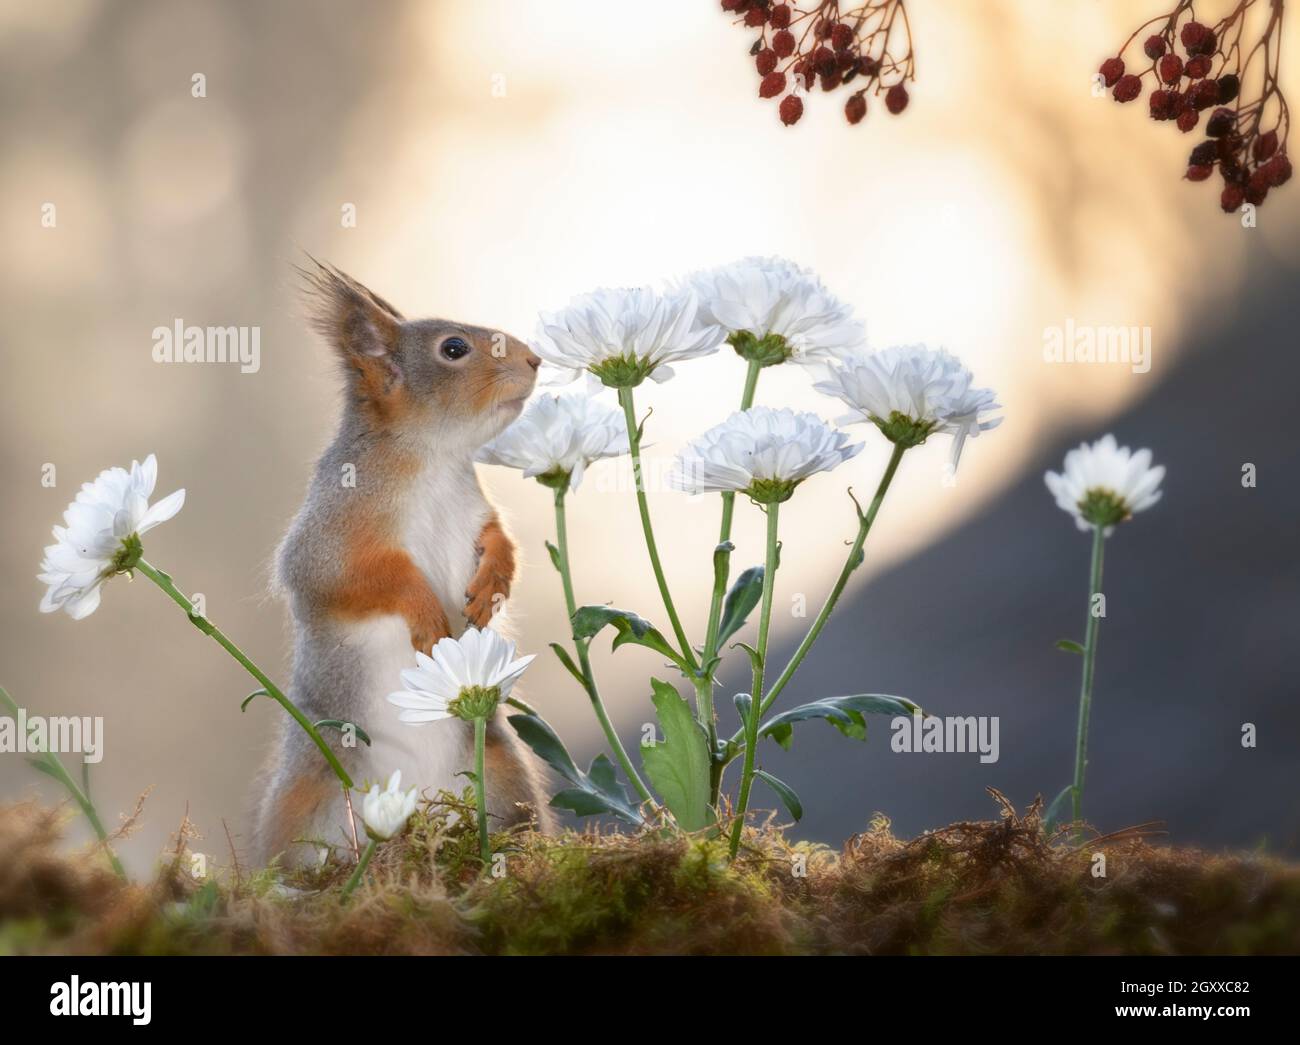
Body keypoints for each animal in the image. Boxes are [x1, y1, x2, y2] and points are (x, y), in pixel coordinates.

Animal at [252, 261, 555, 867]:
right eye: (454, 348)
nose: (534, 359)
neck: (433, 458)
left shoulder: (473, 513)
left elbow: (499, 539)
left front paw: (491, 586)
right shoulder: (331, 533)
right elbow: (358, 577)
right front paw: (427, 614)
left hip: (504, 777)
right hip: (310, 796)